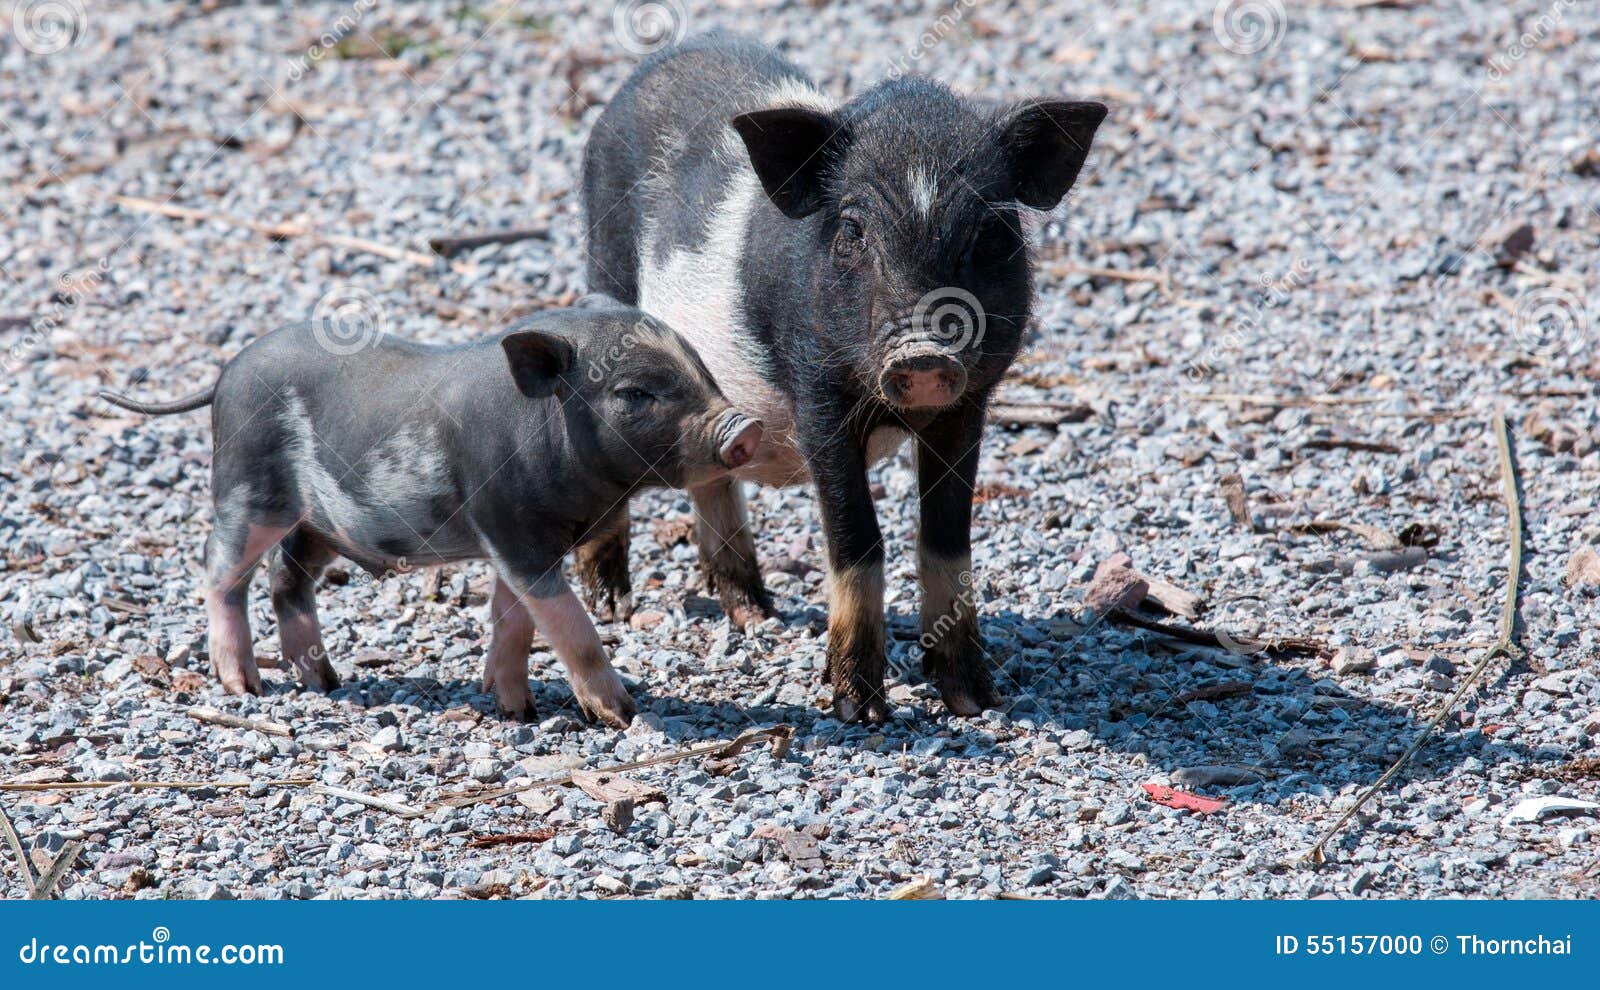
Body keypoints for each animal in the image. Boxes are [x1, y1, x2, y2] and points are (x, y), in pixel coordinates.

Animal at [98, 304, 763, 728]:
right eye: (633, 393)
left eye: (700, 369)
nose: (744, 427)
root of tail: (225, 375)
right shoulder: (513, 532)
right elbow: (571, 625)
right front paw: (621, 716)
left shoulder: (514, 544)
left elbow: (513, 621)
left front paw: (515, 710)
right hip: (246, 490)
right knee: (219, 572)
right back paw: (244, 686)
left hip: (319, 522)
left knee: (287, 579)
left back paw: (325, 682)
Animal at [580, 31, 1106, 723]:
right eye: (854, 229)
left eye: (991, 230)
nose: (923, 352)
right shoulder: (818, 398)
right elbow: (857, 537)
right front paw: (859, 710)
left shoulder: (970, 404)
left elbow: (947, 538)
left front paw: (974, 699)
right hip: (605, 270)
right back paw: (613, 606)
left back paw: (755, 615)